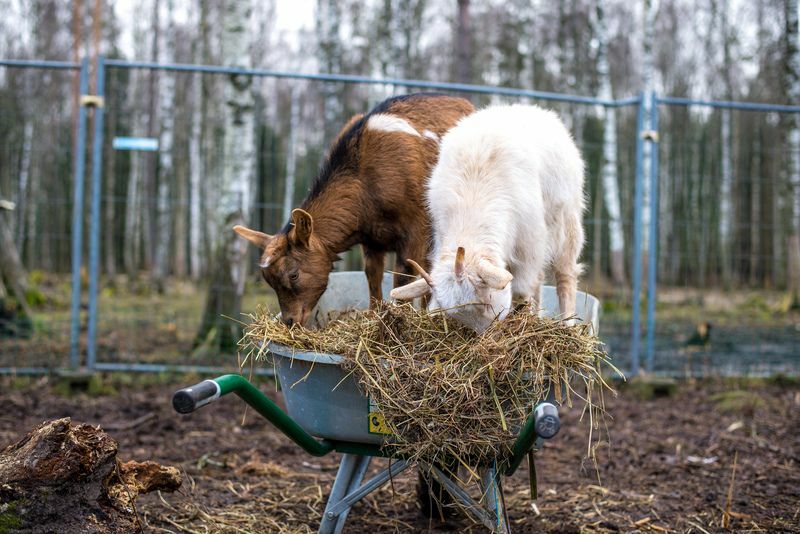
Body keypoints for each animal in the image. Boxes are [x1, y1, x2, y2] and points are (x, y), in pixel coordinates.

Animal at [233, 93, 476, 326]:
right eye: (268, 279)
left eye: (293, 275)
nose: (290, 321)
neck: (365, 183)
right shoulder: (371, 240)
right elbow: (373, 277)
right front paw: (375, 316)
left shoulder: (415, 229)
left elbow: (402, 278)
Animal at [390, 104, 584, 332]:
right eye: (456, 315)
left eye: (484, 299)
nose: (486, 334)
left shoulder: (529, 245)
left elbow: (522, 289)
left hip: (567, 223)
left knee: (565, 275)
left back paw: (568, 325)